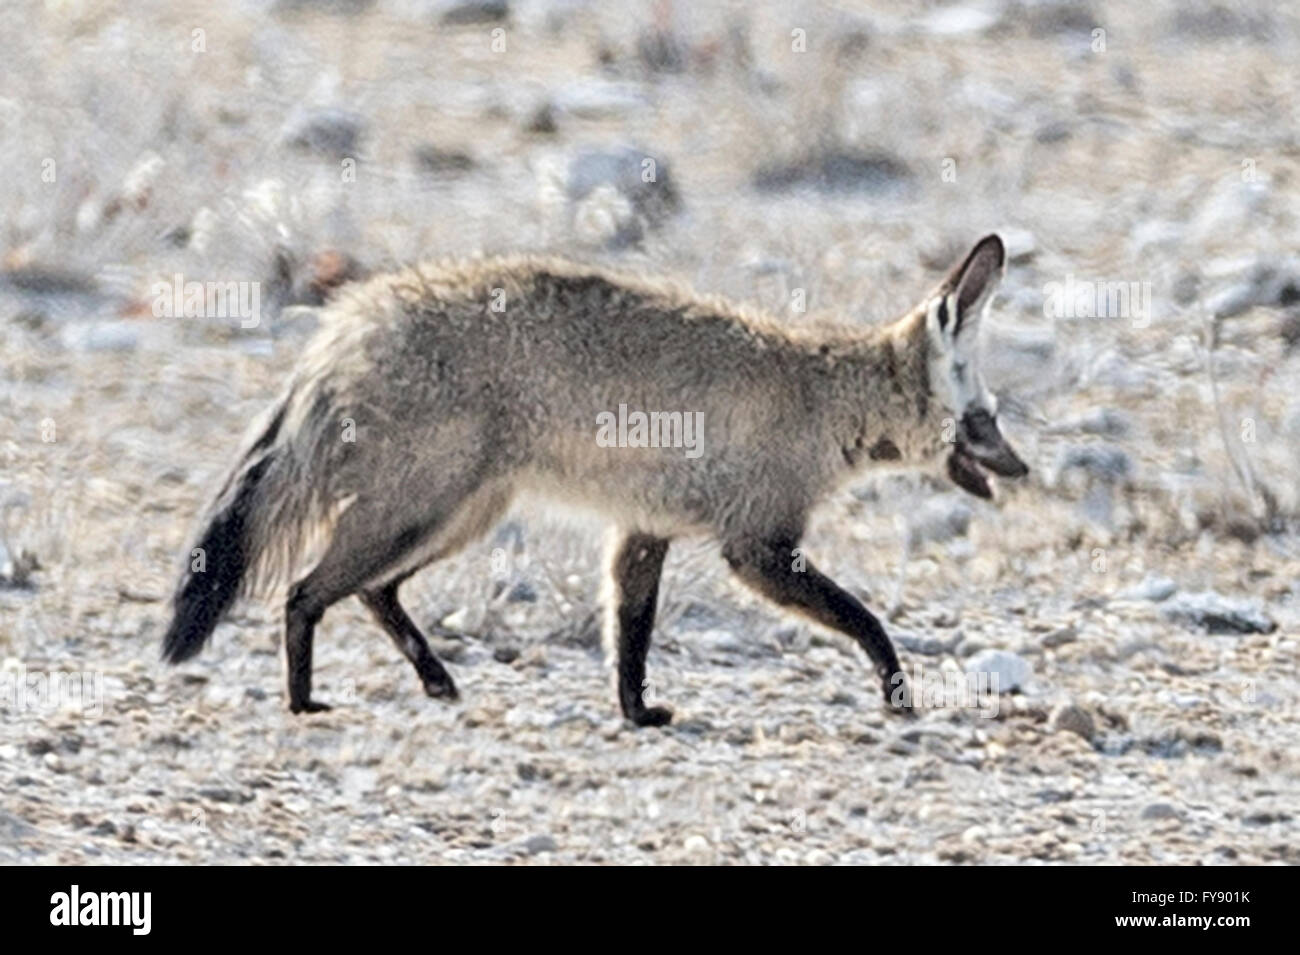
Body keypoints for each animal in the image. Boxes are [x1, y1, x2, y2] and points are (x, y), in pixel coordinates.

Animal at [161, 233, 1028, 725]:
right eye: (984, 420)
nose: (1022, 469)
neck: (824, 392)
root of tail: (349, 316)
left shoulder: (643, 532)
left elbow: (628, 641)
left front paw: (636, 713)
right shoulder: (756, 548)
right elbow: (865, 617)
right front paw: (896, 687)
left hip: (458, 514)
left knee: (372, 591)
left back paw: (436, 680)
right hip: (424, 508)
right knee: (303, 591)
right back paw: (303, 699)